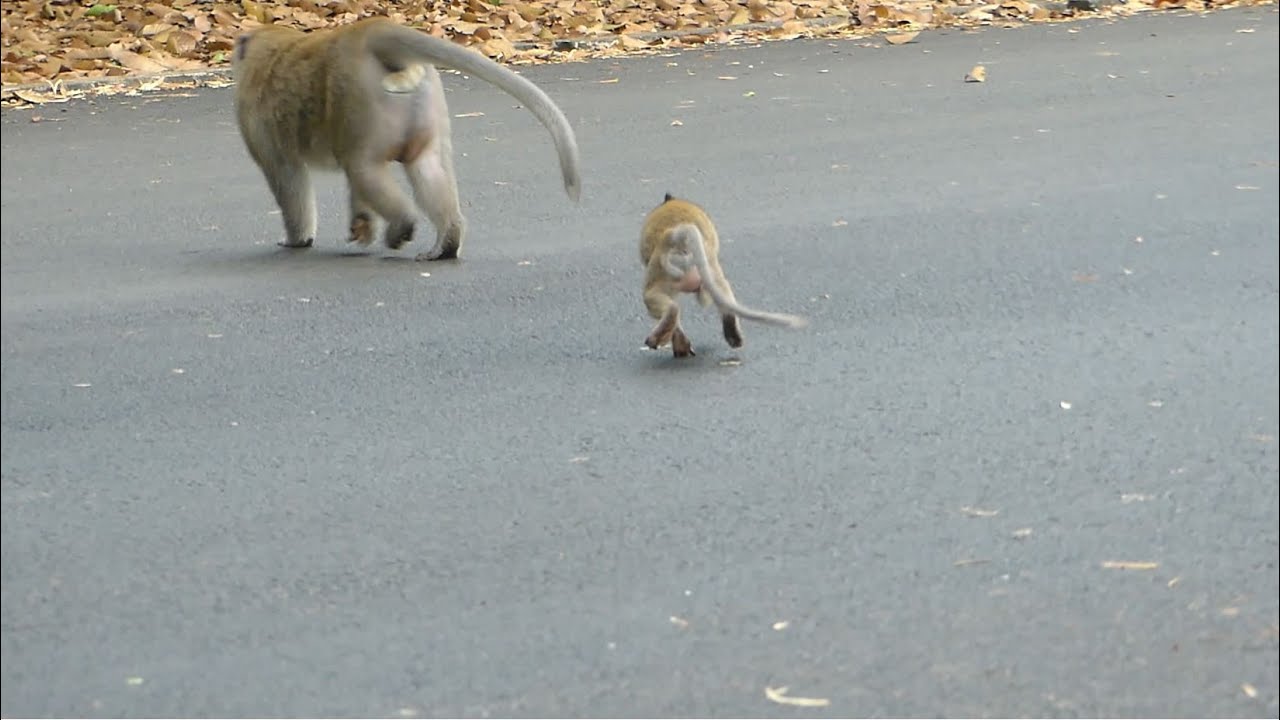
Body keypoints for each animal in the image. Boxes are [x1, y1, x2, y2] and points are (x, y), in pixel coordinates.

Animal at [231, 17, 581, 261]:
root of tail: (373, 31)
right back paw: (446, 242)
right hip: (423, 102)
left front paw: (298, 239)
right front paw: (361, 225)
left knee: (362, 167)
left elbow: (287, 177)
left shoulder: (254, 118)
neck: (270, 48)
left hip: (360, 99)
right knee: (425, 166)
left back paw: (402, 225)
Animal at [640, 193, 808, 358]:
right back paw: (732, 331)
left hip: (662, 268)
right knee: (720, 288)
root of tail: (678, 234)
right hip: (705, 265)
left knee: (655, 297)